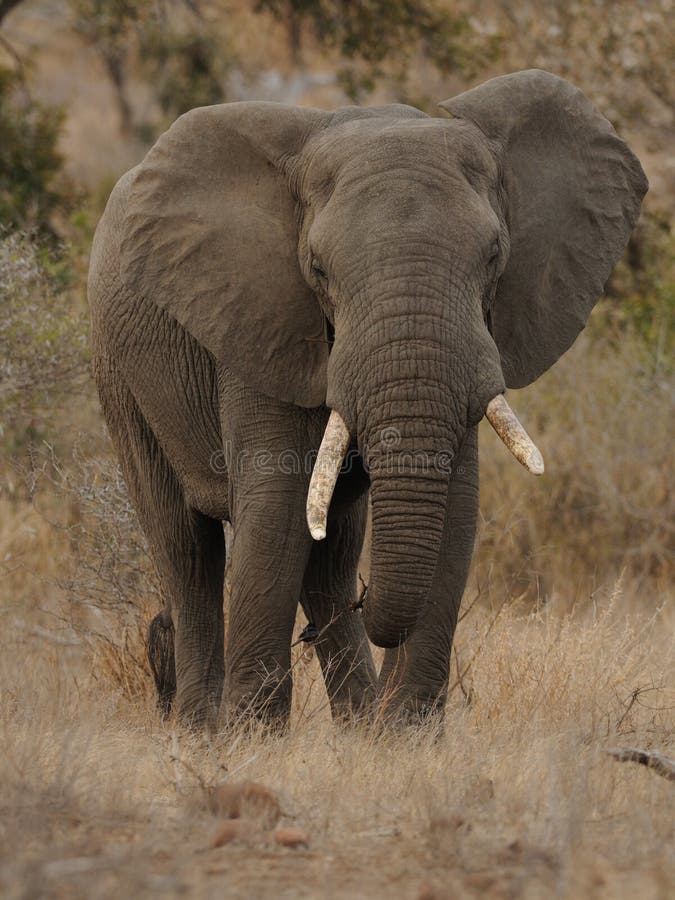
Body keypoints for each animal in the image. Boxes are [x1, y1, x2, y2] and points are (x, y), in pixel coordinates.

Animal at [88, 69, 647, 731]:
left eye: (494, 256)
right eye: (317, 268)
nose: (370, 596)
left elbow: (455, 507)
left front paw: (403, 735)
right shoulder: (258, 324)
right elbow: (276, 507)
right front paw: (255, 738)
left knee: (330, 556)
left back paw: (354, 723)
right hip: (116, 366)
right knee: (187, 546)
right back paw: (201, 731)